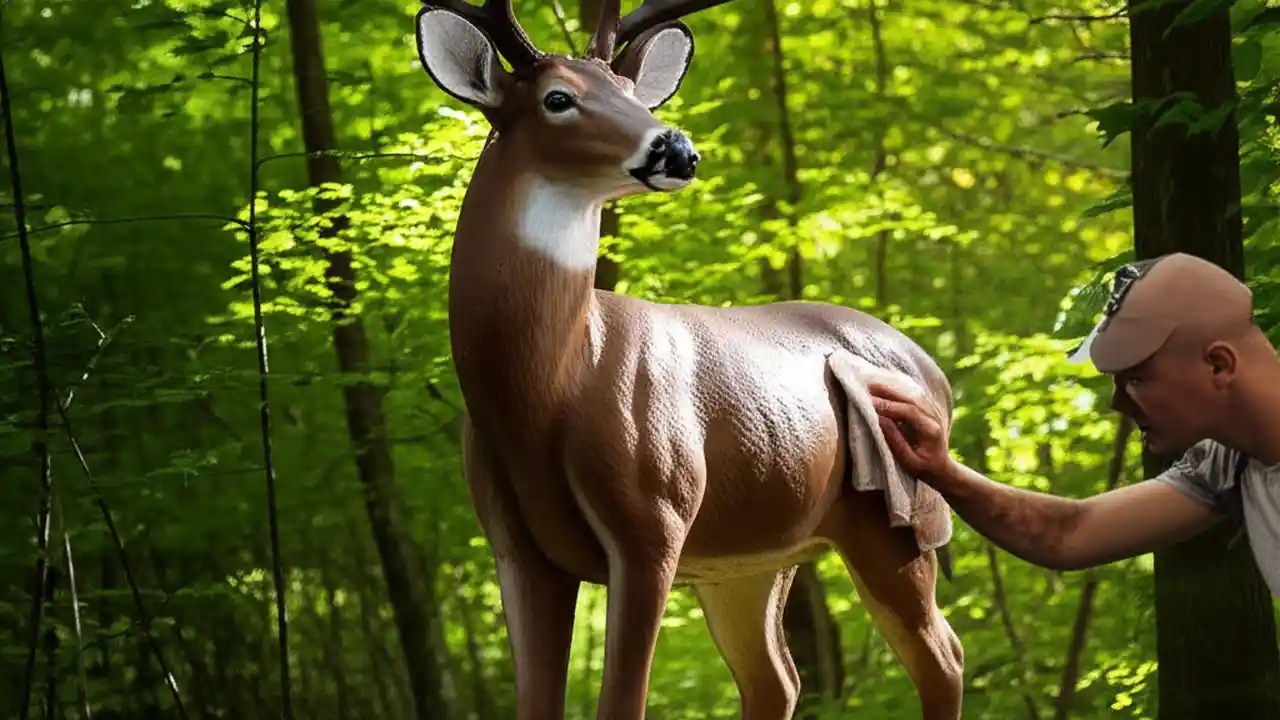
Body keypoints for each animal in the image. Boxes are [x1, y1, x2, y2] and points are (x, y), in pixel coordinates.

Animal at [414, 0, 965, 717]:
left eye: (631, 93)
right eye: (557, 97)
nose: (674, 147)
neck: (552, 390)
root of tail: (937, 375)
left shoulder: (655, 519)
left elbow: (623, 702)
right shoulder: (516, 547)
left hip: (896, 523)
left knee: (943, 658)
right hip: (752, 558)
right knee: (777, 678)